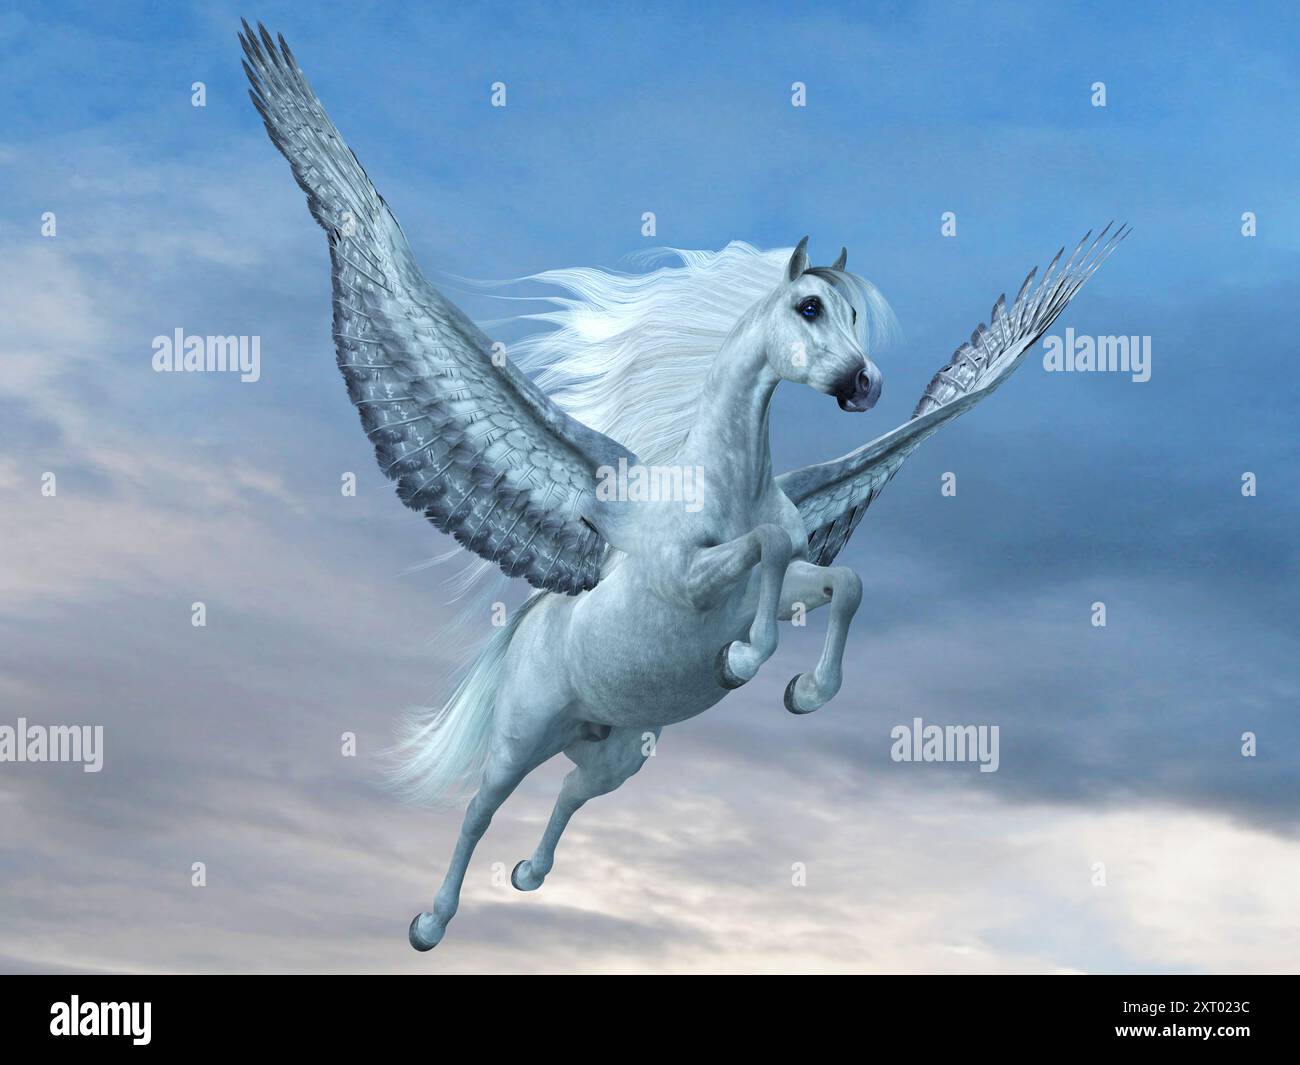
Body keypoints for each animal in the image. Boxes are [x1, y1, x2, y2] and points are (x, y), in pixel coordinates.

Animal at [239, 21, 1127, 951]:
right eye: (810, 306)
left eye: (853, 313)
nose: (865, 386)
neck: (723, 482)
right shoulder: (692, 575)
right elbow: (761, 549)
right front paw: (747, 659)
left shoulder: (797, 565)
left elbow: (840, 577)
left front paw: (802, 690)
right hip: (524, 731)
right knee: (479, 808)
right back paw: (428, 922)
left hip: (617, 746)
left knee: (566, 795)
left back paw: (530, 874)